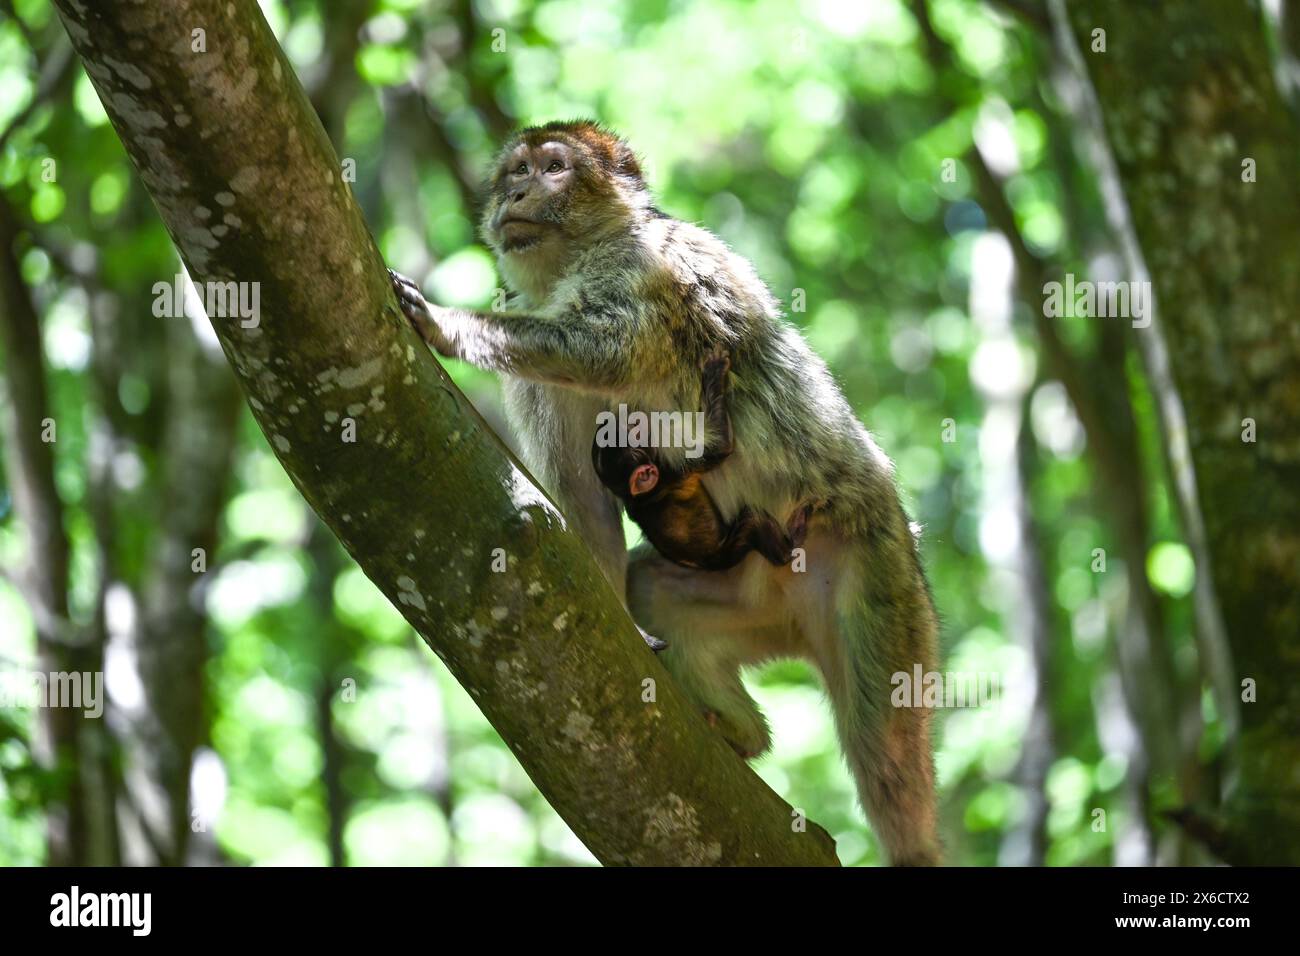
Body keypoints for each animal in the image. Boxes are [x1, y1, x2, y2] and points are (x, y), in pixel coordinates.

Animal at [592, 348, 810, 572]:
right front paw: (714, 371)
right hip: (733, 547)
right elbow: (720, 445)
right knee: (754, 520)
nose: (636, 418)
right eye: (635, 432)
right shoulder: (674, 471)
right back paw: (791, 543)